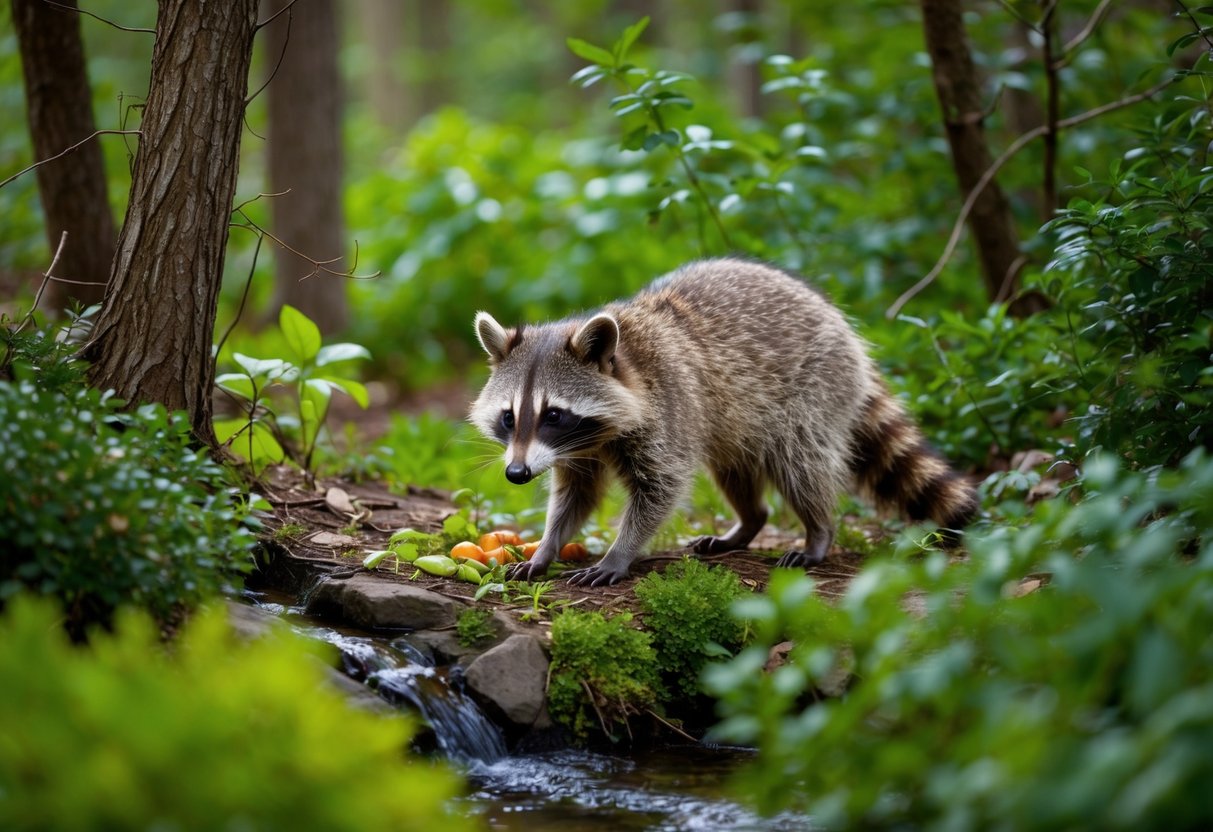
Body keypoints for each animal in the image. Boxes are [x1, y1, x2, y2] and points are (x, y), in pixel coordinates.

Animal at [469, 258, 978, 587]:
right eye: (509, 417)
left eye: (554, 414)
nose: (516, 474)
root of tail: (843, 328)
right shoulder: (577, 449)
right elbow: (576, 495)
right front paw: (547, 546)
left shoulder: (668, 408)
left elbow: (661, 488)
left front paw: (620, 551)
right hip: (738, 421)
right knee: (735, 470)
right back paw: (750, 522)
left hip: (815, 388)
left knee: (801, 463)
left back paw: (818, 531)